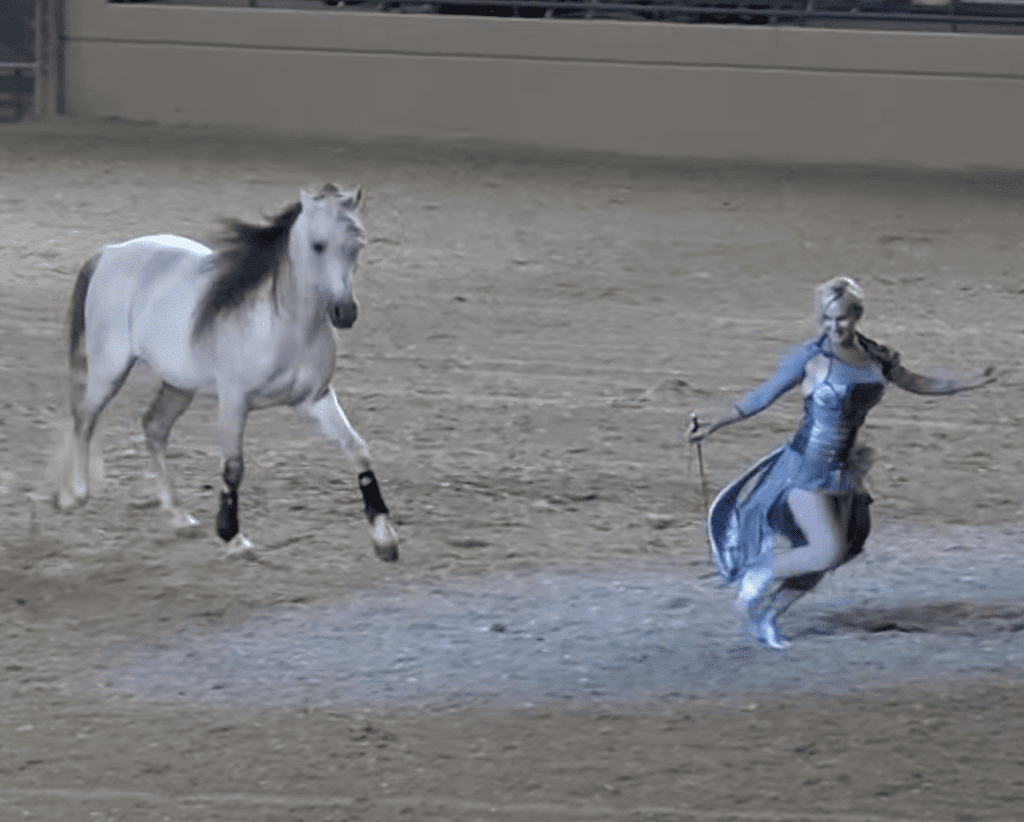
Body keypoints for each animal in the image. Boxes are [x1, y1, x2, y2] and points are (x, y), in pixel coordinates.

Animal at [54, 184, 399, 561]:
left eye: (358, 244)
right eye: (317, 245)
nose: (344, 312)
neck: (287, 328)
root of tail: (109, 252)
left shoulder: (315, 398)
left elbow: (357, 449)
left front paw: (384, 538)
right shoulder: (235, 401)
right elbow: (233, 467)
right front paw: (232, 537)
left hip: (178, 384)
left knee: (154, 427)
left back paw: (178, 515)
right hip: (109, 371)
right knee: (85, 417)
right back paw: (76, 494)